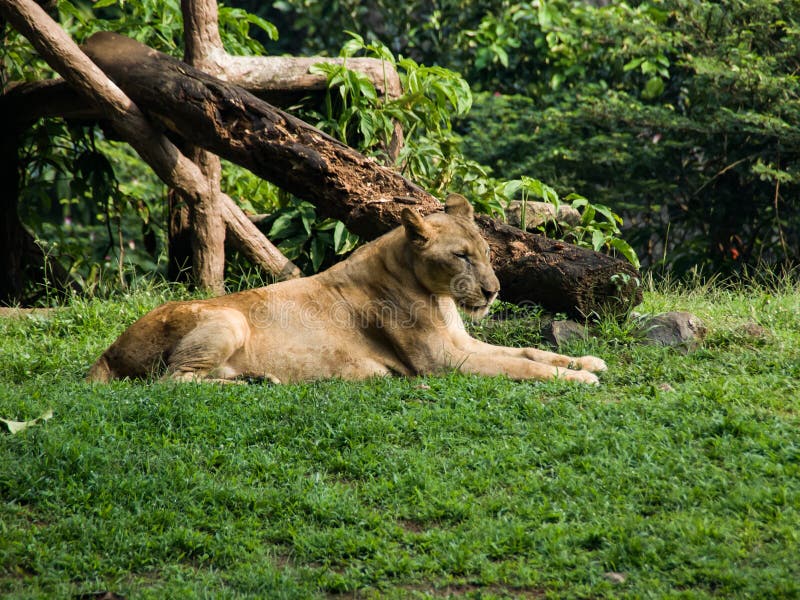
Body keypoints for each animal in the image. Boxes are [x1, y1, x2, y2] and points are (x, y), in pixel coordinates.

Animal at [86, 194, 606, 385]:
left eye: (485, 252)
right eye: (461, 255)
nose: (495, 291)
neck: (438, 297)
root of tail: (109, 351)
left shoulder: (463, 343)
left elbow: (528, 351)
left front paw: (585, 362)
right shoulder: (442, 362)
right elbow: (518, 366)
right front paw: (578, 380)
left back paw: (257, 379)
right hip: (228, 318)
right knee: (173, 381)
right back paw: (252, 382)